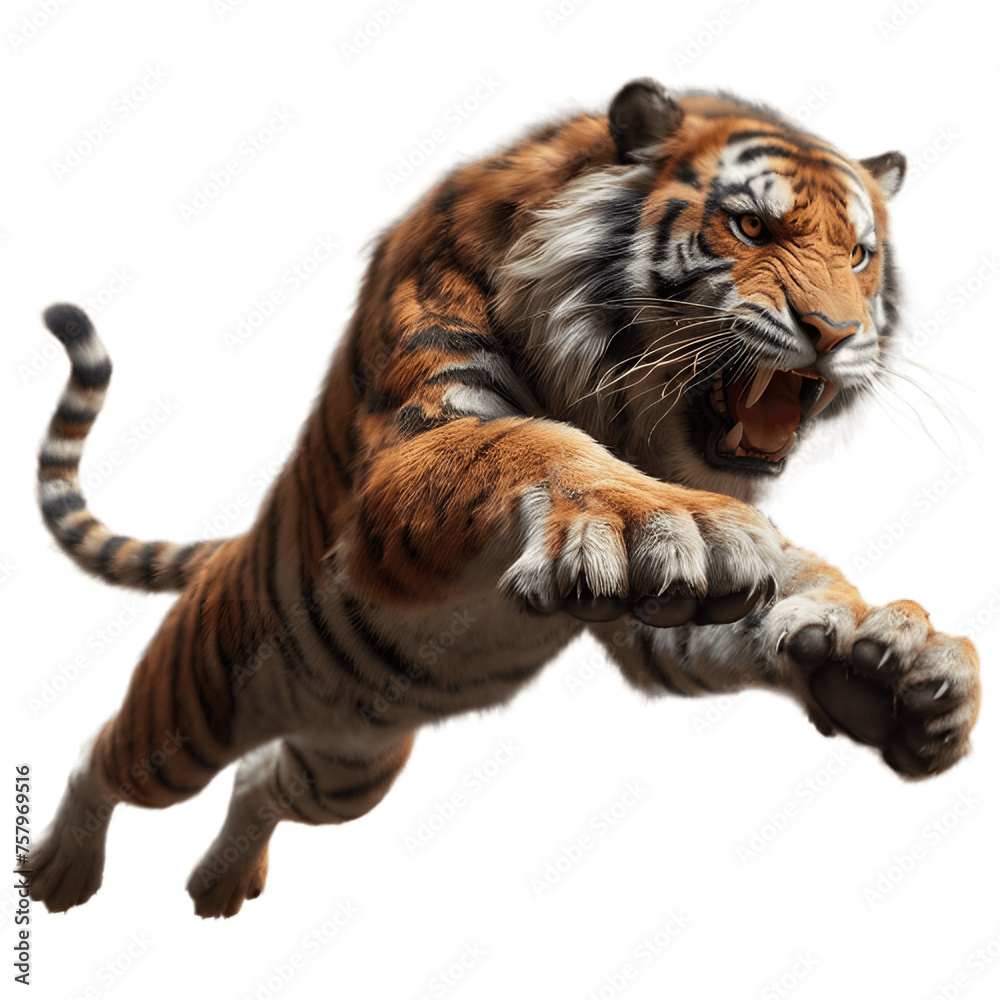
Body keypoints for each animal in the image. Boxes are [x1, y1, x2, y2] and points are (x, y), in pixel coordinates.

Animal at [29, 78, 981, 919]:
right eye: (751, 225)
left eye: (859, 255)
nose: (838, 334)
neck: (622, 407)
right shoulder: (414, 447)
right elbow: (528, 442)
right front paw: (662, 515)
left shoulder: (653, 620)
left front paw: (887, 659)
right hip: (191, 713)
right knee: (104, 758)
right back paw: (58, 873)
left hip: (348, 771)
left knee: (265, 781)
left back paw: (220, 887)